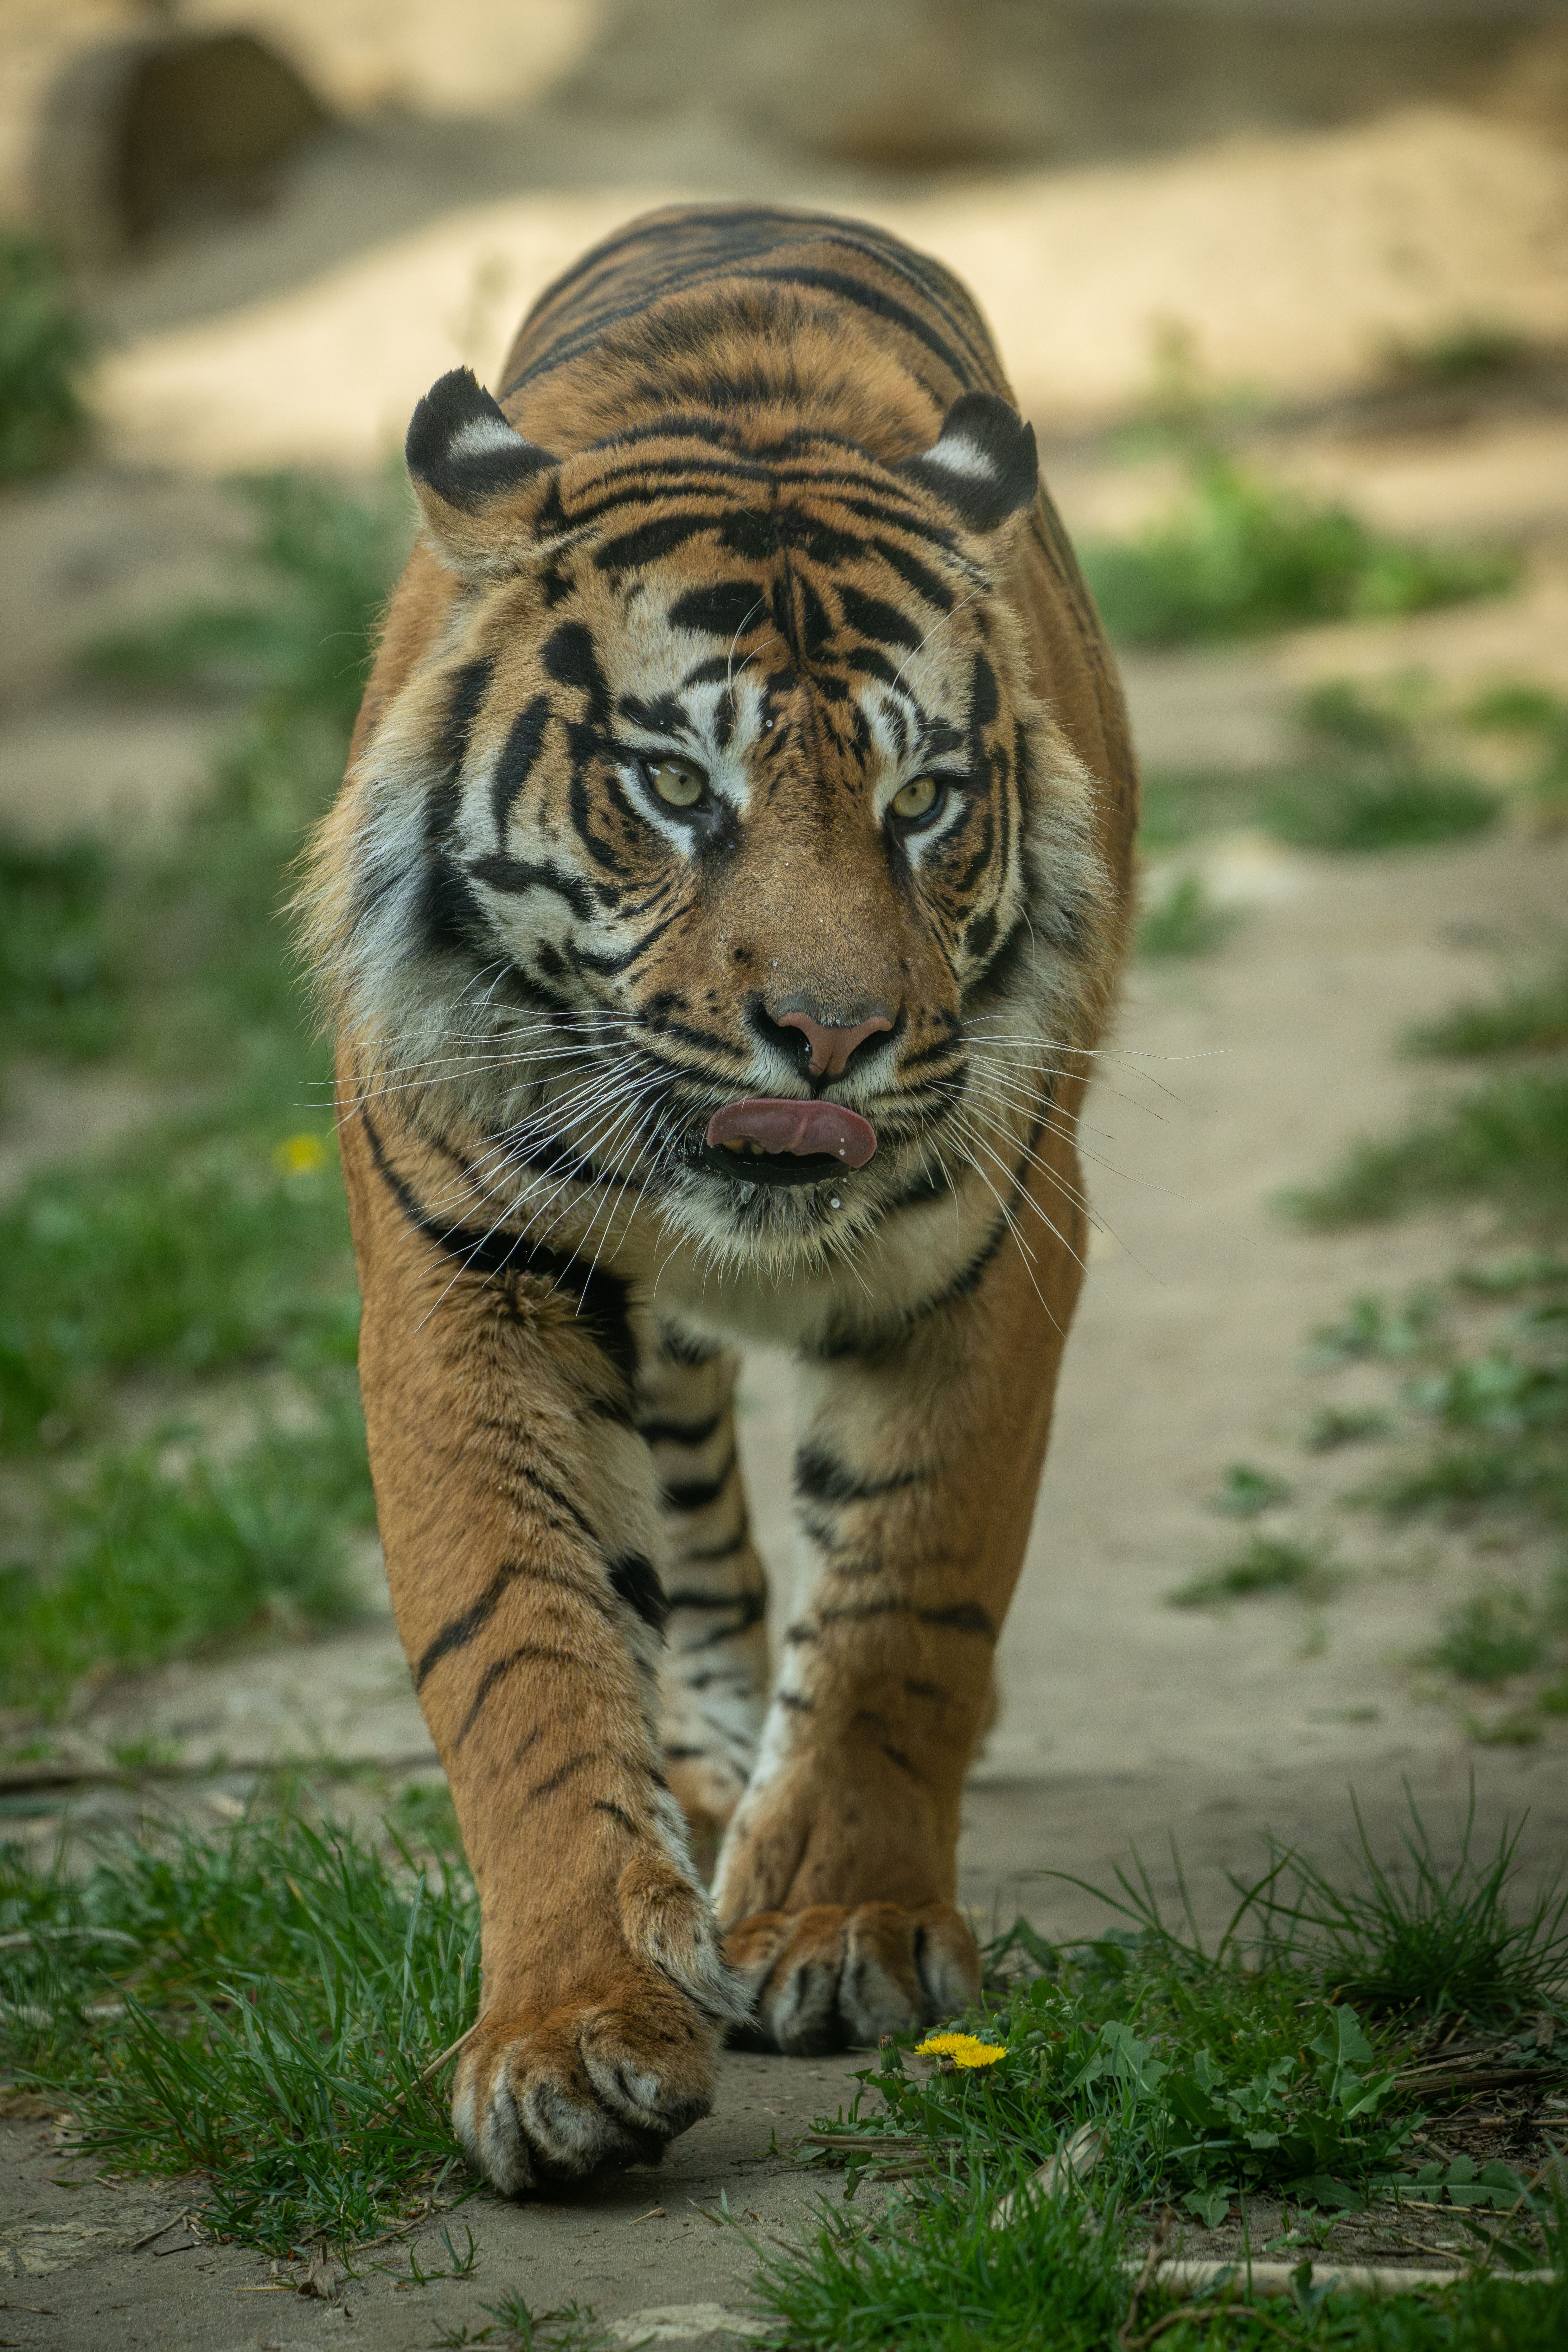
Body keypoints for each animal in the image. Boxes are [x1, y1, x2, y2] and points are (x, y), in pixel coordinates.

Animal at [303, 202, 1136, 2197]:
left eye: (923, 799)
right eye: (674, 783)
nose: (828, 1036)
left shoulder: (997, 1243)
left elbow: (910, 1583)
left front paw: (841, 1925)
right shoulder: (467, 1271)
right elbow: (522, 1641)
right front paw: (568, 2034)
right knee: (685, 1526)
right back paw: (696, 1766)